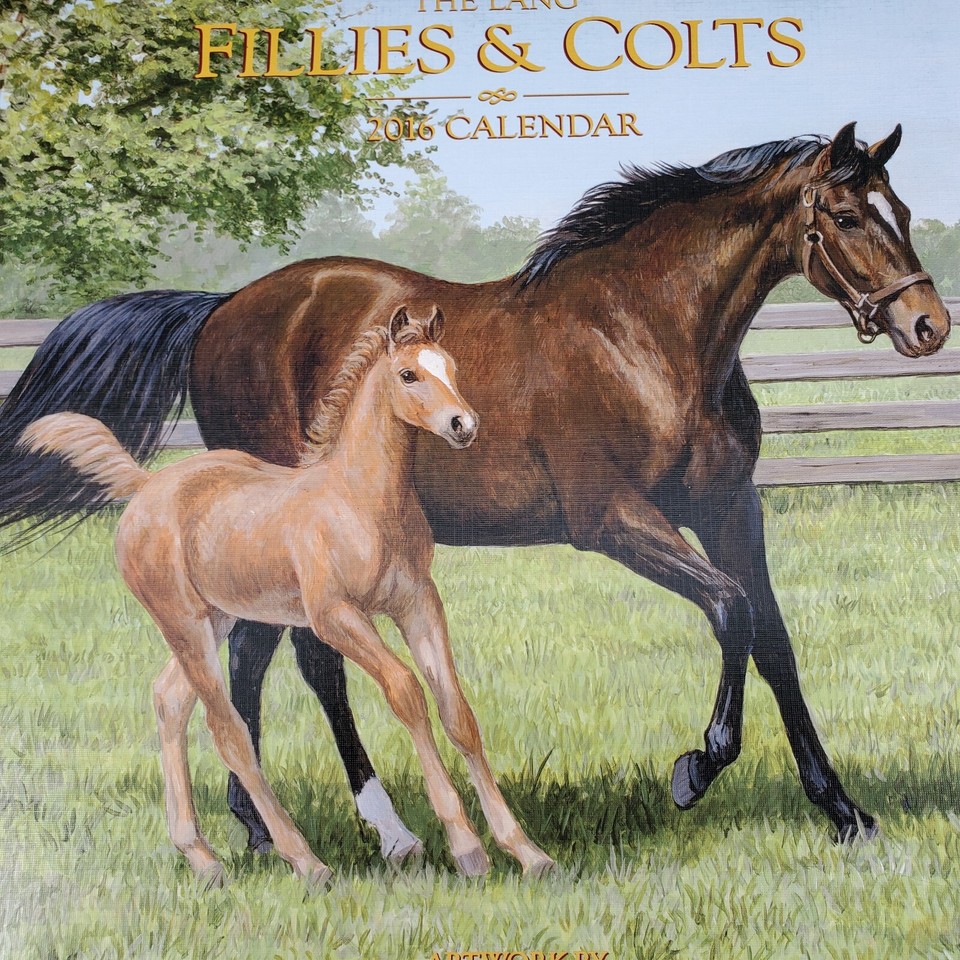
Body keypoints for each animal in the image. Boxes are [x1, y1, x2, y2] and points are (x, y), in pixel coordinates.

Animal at [18, 306, 555, 884]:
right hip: (182, 622)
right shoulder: (334, 616)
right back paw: (304, 861)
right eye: (409, 374)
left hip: (215, 620)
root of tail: (146, 487)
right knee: (228, 731)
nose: (463, 425)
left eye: (452, 367)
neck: (360, 500)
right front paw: (467, 849)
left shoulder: (418, 604)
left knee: (169, 699)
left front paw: (527, 852)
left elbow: (458, 712)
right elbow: (406, 693)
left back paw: (202, 858)